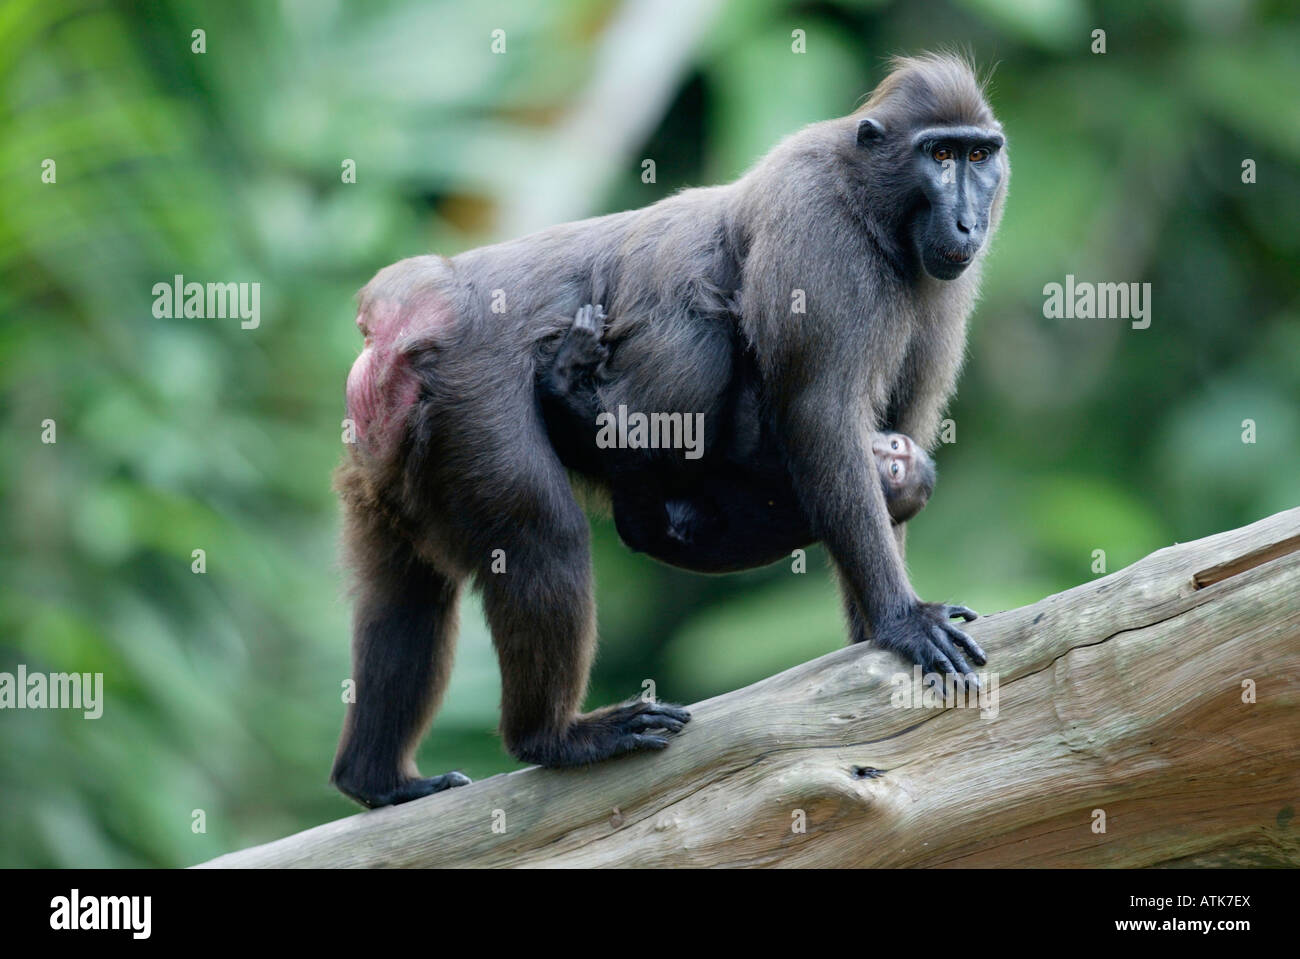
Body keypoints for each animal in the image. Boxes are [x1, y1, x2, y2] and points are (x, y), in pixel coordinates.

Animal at [537, 303, 936, 573]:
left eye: (896, 471)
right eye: (897, 448)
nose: (884, 450)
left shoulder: (785, 476)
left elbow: (743, 447)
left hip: (644, 522)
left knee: (630, 466)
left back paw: (564, 378)